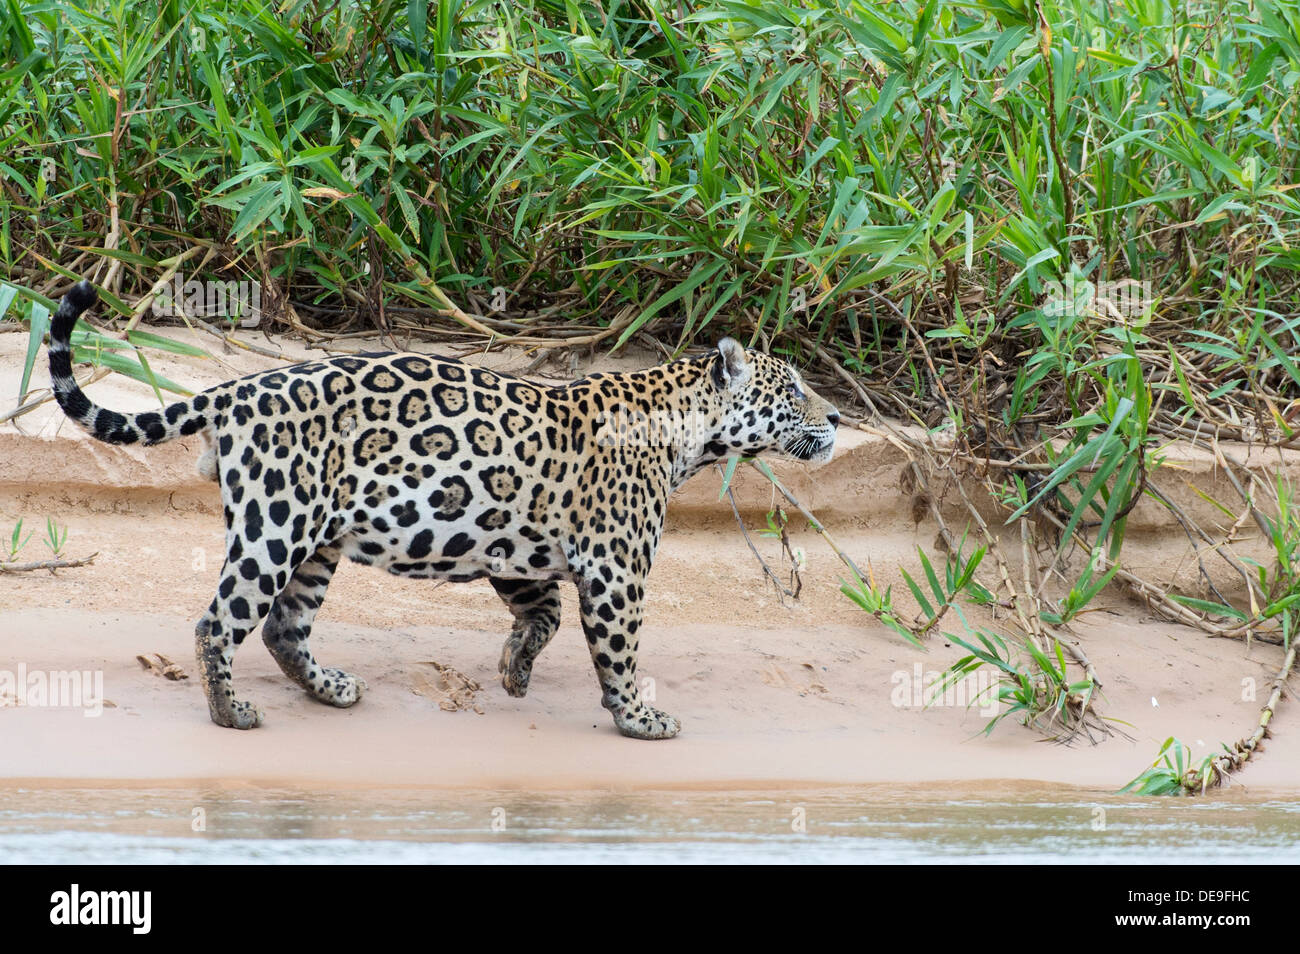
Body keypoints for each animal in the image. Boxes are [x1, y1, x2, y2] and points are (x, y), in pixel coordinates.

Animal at [47, 279, 840, 739]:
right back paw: (229, 713)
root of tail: (234, 389)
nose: (836, 417)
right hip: (276, 525)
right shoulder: (615, 570)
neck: (686, 430)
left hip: (316, 539)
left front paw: (515, 670)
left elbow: (544, 612)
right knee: (219, 622)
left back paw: (329, 690)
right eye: (794, 390)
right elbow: (618, 649)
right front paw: (638, 717)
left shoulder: (517, 547)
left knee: (282, 625)